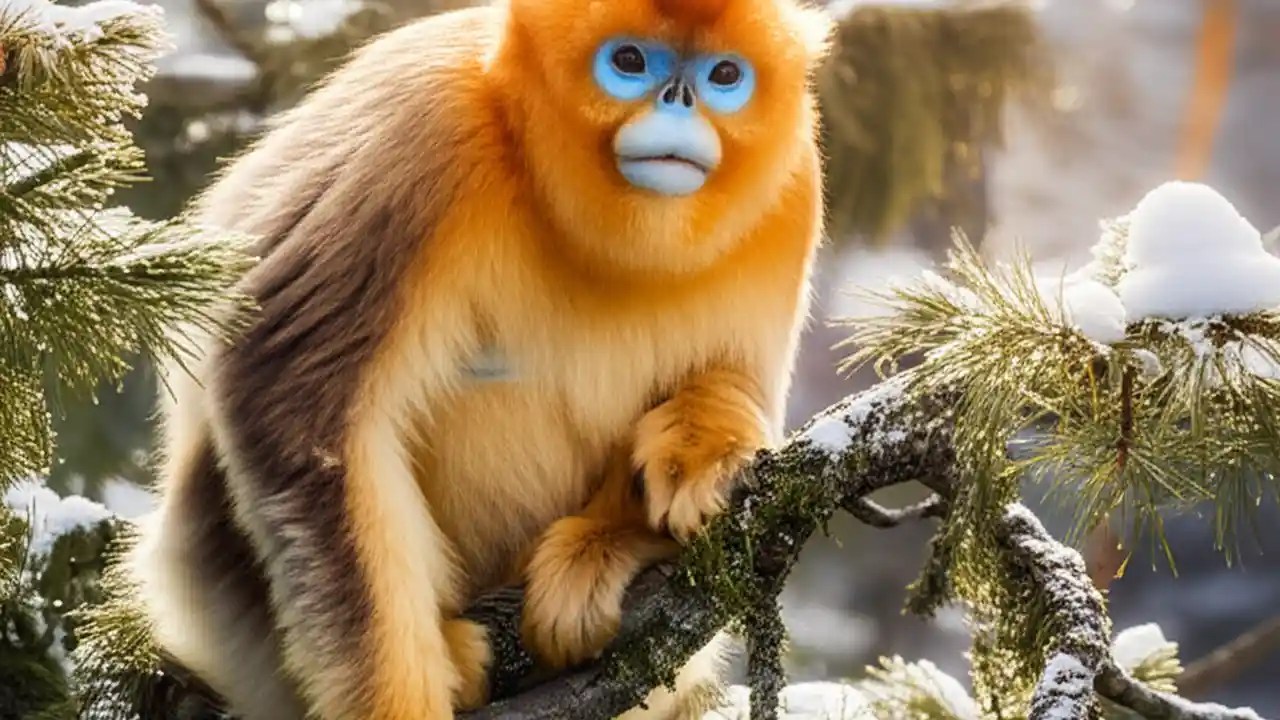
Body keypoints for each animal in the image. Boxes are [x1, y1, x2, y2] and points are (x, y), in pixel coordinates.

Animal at [126, 0, 832, 718]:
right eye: (629, 61)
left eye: (725, 76)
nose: (680, 99)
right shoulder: (428, 131)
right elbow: (295, 406)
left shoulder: (793, 188)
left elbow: (739, 383)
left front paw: (688, 461)